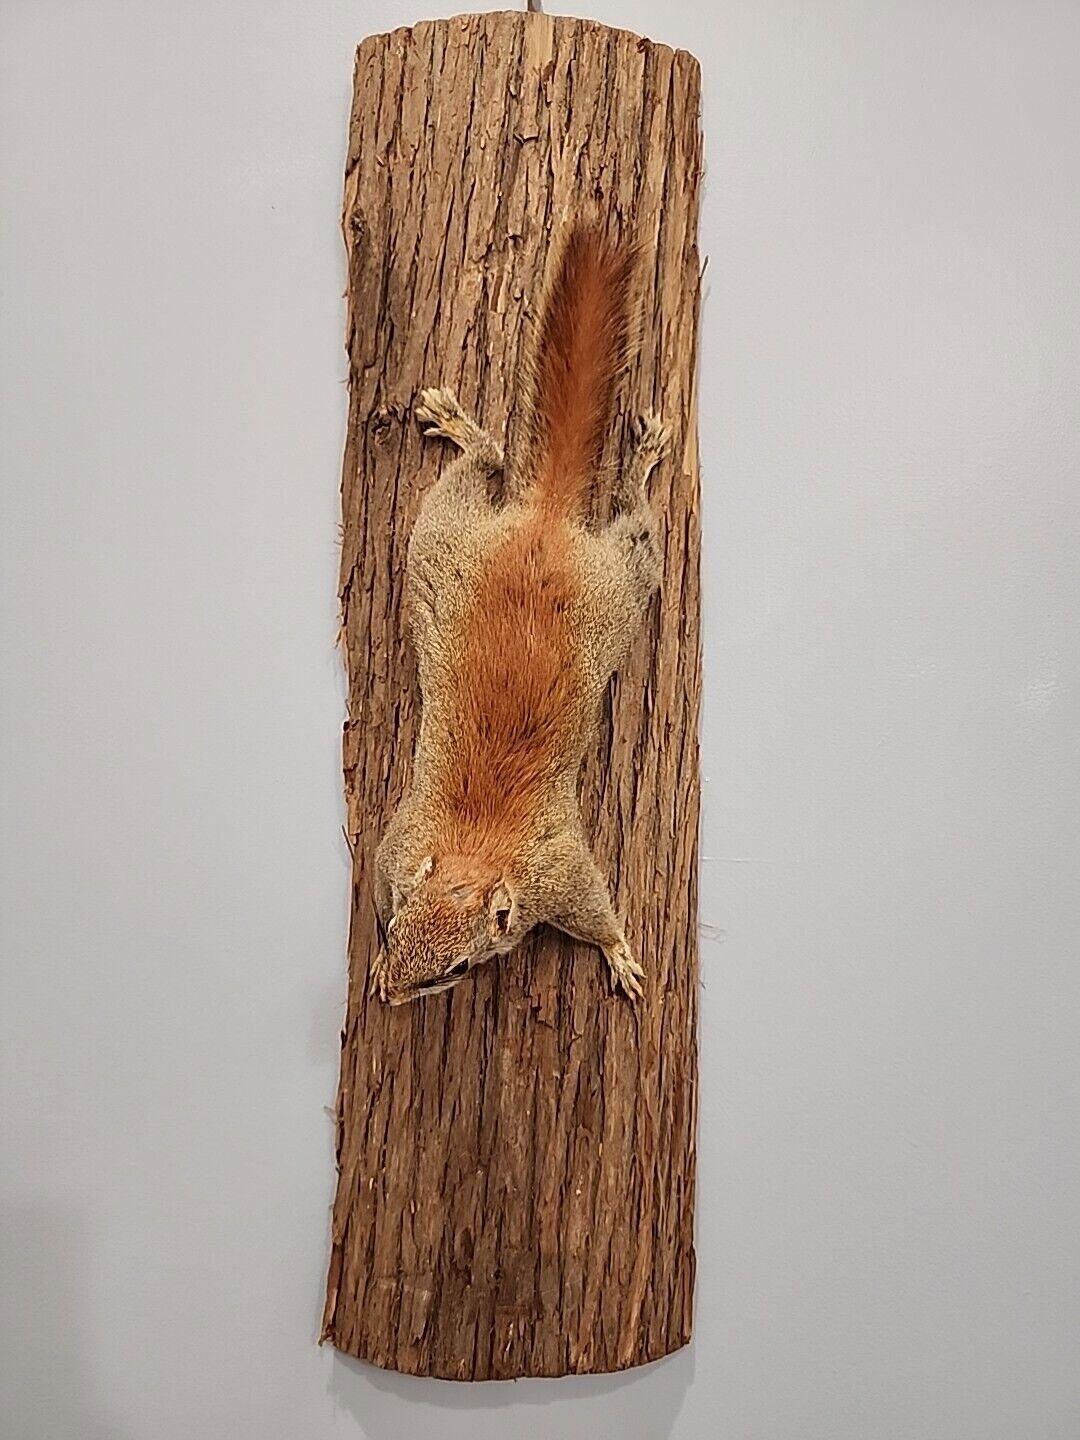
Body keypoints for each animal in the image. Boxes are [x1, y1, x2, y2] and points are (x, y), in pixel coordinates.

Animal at [370, 223, 669, 1006]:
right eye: (395, 928)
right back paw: (459, 423)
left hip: (621, 578)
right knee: (491, 459)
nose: (389, 993)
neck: (474, 852)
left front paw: (618, 951)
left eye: (455, 970)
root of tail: (544, 522)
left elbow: (596, 913)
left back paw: (639, 461)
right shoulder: (398, 844)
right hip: (444, 539)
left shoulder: (559, 876)